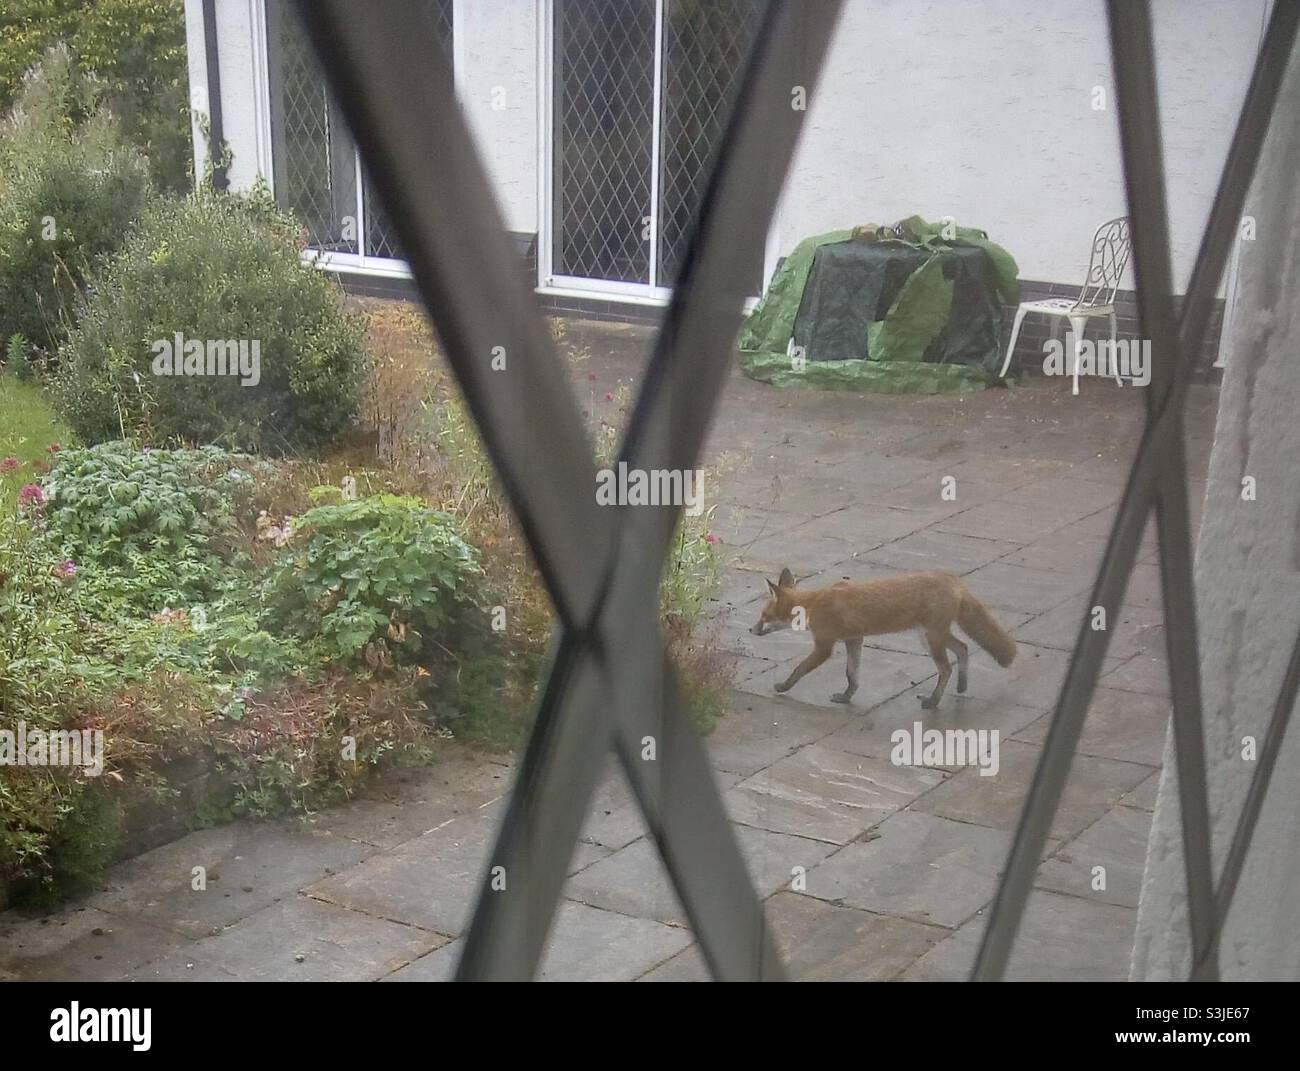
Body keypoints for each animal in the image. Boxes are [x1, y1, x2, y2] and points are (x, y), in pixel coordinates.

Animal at [751, 567, 1016, 709]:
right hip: (932, 636)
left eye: (763, 616)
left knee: (946, 668)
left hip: (932, 639)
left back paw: (933, 700)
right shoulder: (854, 640)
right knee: (963, 648)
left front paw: (783, 687)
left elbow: (799, 669)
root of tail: (954, 581)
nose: (751, 630)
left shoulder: (825, 646)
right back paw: (961, 686)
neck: (813, 604)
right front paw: (846, 697)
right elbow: (852, 675)